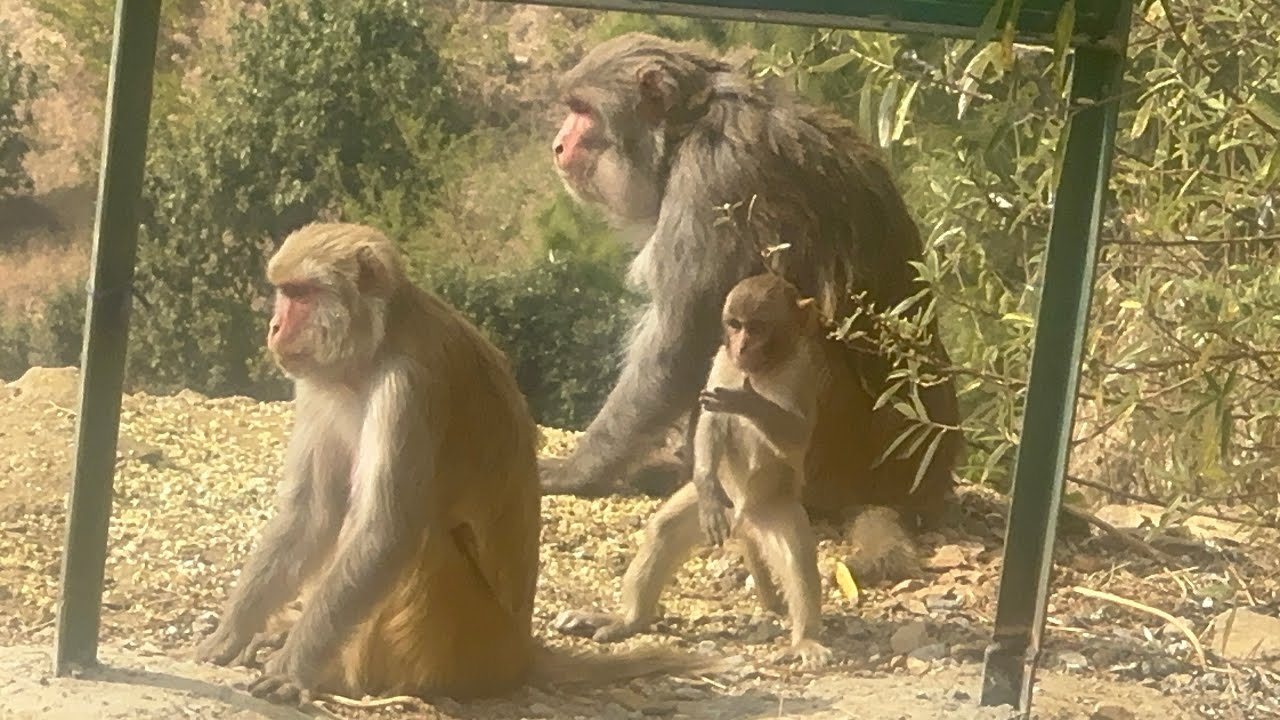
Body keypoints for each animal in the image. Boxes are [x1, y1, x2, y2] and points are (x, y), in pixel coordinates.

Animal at [195, 222, 703, 704]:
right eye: (284, 292)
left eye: (301, 294)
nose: (274, 328)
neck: (375, 347)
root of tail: (519, 652)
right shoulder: (317, 387)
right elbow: (311, 515)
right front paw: (231, 633)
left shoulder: (408, 388)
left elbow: (385, 533)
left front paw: (292, 669)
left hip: (459, 642)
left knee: (420, 538)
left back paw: (343, 676)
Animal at [541, 33, 962, 568]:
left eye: (583, 111)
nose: (559, 143)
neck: (688, 128)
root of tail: (913, 492)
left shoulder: (712, 180)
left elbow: (681, 341)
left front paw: (578, 470)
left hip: (828, 459)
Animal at [555, 274, 836, 670]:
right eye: (735, 325)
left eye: (757, 327)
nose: (742, 346)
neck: (764, 368)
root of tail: (745, 520)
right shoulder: (721, 361)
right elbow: (710, 424)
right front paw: (704, 476)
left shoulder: (803, 373)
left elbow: (796, 435)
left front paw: (749, 401)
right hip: (725, 505)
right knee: (666, 529)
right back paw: (629, 619)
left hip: (775, 508)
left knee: (797, 558)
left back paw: (805, 639)